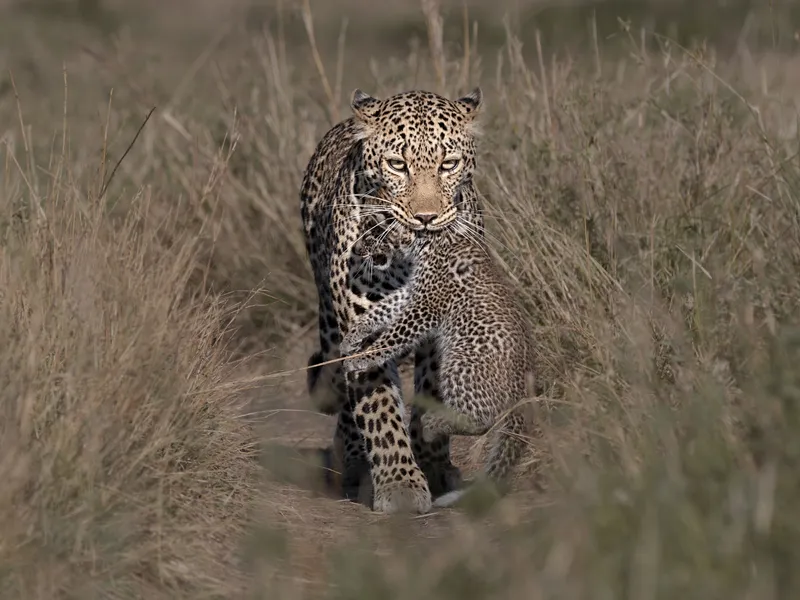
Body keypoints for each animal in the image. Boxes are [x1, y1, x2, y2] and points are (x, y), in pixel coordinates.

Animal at [300, 87, 486, 513]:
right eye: (397, 165)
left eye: (449, 164)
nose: (426, 218)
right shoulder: (364, 331)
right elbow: (379, 409)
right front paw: (399, 482)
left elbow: (432, 392)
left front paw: (432, 463)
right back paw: (354, 461)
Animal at [339, 223, 534, 508]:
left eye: (374, 231)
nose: (357, 248)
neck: (425, 243)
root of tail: (525, 383)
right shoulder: (410, 292)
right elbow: (382, 308)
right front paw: (353, 335)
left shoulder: (425, 306)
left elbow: (395, 335)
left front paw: (362, 357)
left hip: (460, 367)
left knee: (482, 419)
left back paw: (430, 424)